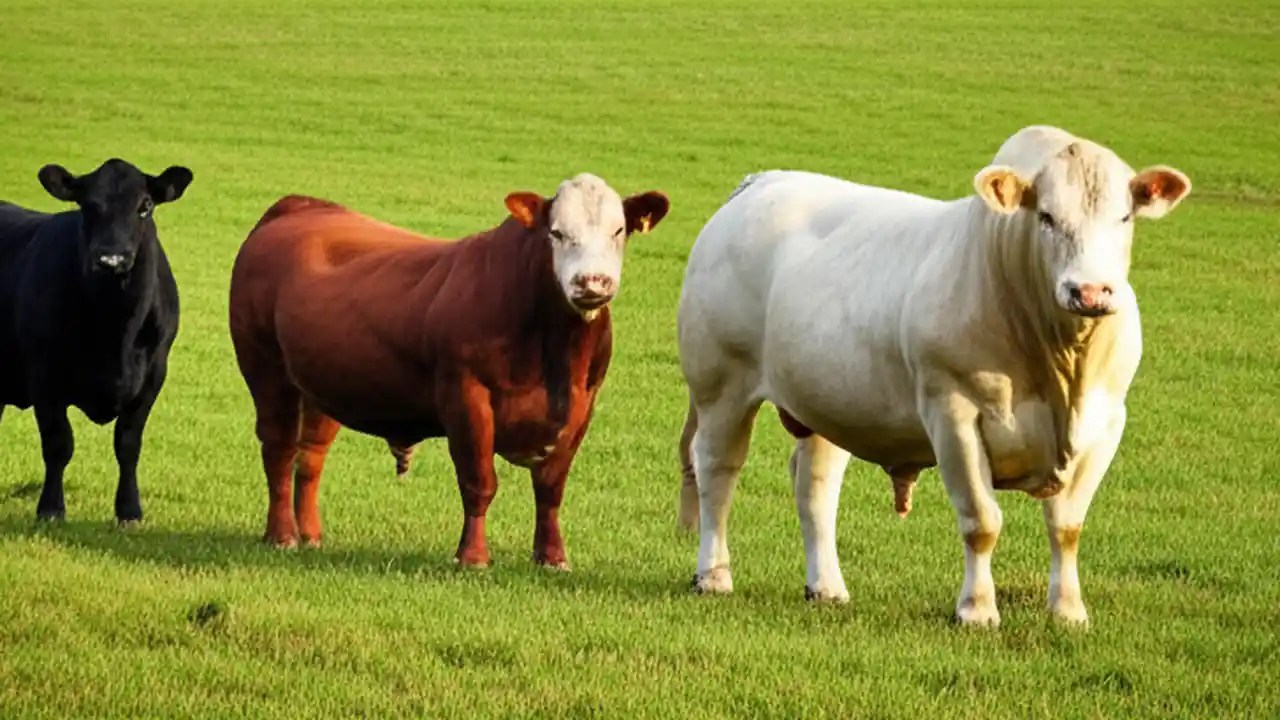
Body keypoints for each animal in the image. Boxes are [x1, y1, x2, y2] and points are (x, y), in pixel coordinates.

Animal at [0, 159, 192, 524]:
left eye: (145, 206)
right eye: (87, 206)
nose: (111, 260)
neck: (116, 333)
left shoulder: (153, 374)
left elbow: (128, 444)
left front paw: (129, 510)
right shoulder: (43, 374)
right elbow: (58, 443)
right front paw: (51, 508)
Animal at [228, 174, 668, 569]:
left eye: (618, 230)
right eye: (556, 233)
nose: (592, 282)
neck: (555, 353)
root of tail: (297, 207)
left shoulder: (582, 405)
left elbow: (551, 488)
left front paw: (552, 557)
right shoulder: (467, 395)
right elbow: (479, 482)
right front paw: (472, 557)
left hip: (320, 384)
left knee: (311, 456)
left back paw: (310, 535)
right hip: (266, 370)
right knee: (280, 449)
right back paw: (281, 535)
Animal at [675, 126, 1190, 625]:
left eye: (1124, 218)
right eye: (1045, 217)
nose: (1090, 291)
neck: (1061, 367)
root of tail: (762, 182)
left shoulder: (1106, 423)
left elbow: (1066, 526)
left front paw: (1068, 611)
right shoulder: (954, 413)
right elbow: (982, 522)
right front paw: (976, 609)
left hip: (827, 400)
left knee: (815, 486)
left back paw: (826, 587)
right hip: (720, 383)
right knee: (718, 469)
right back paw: (713, 575)